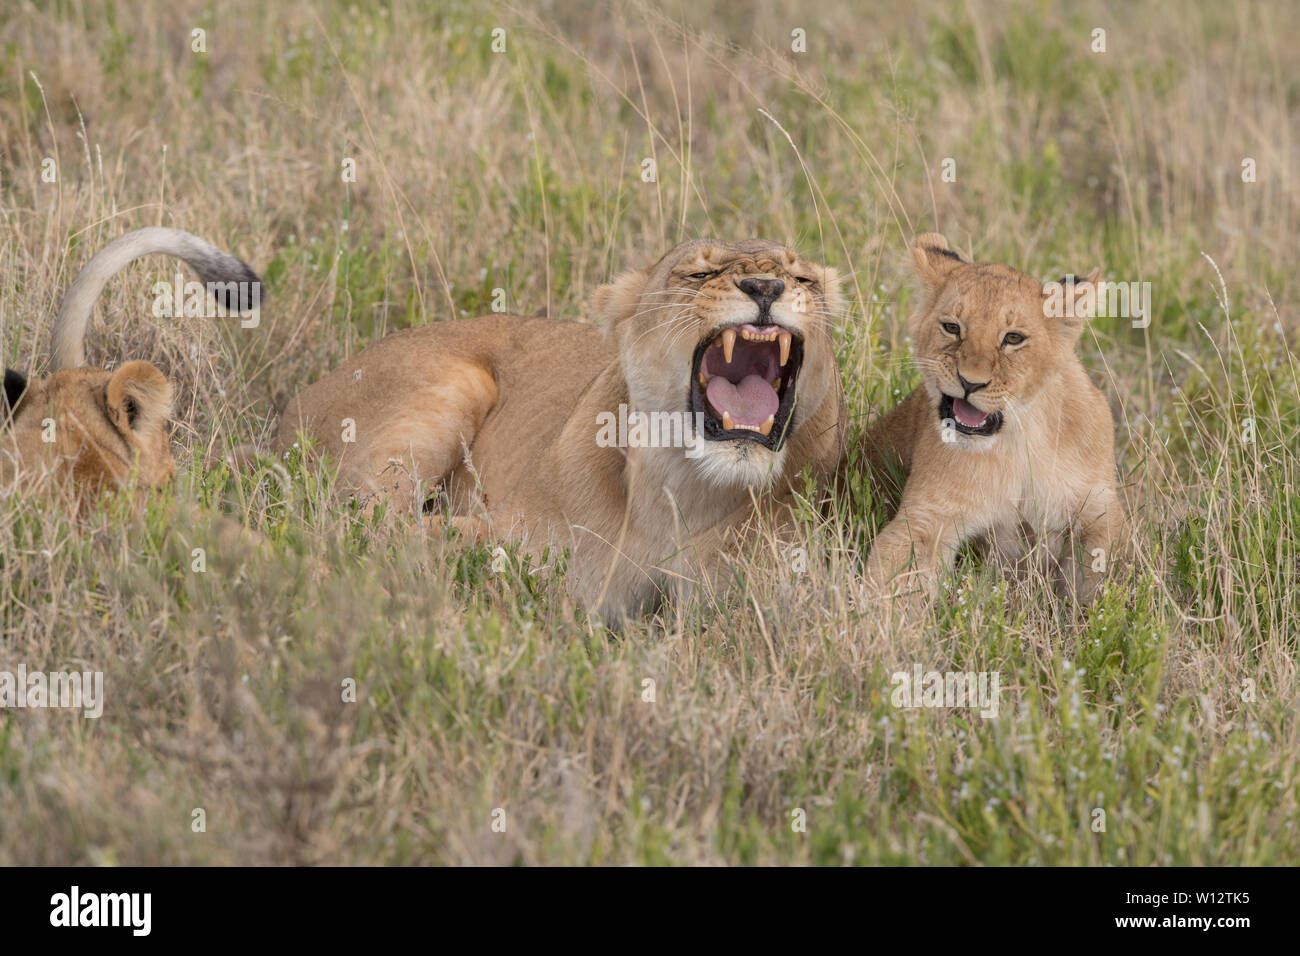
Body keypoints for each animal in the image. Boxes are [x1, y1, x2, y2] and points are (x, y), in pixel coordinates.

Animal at [271, 239, 846, 619]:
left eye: (804, 280)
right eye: (700, 276)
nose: (766, 287)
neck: (683, 490)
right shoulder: (507, 533)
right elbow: (419, 542)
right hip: (456, 387)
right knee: (350, 523)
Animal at [857, 233, 1126, 605]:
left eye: (1013, 338)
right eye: (952, 327)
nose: (971, 382)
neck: (1017, 438)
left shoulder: (1099, 509)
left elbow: (1100, 576)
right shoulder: (926, 519)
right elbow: (888, 584)